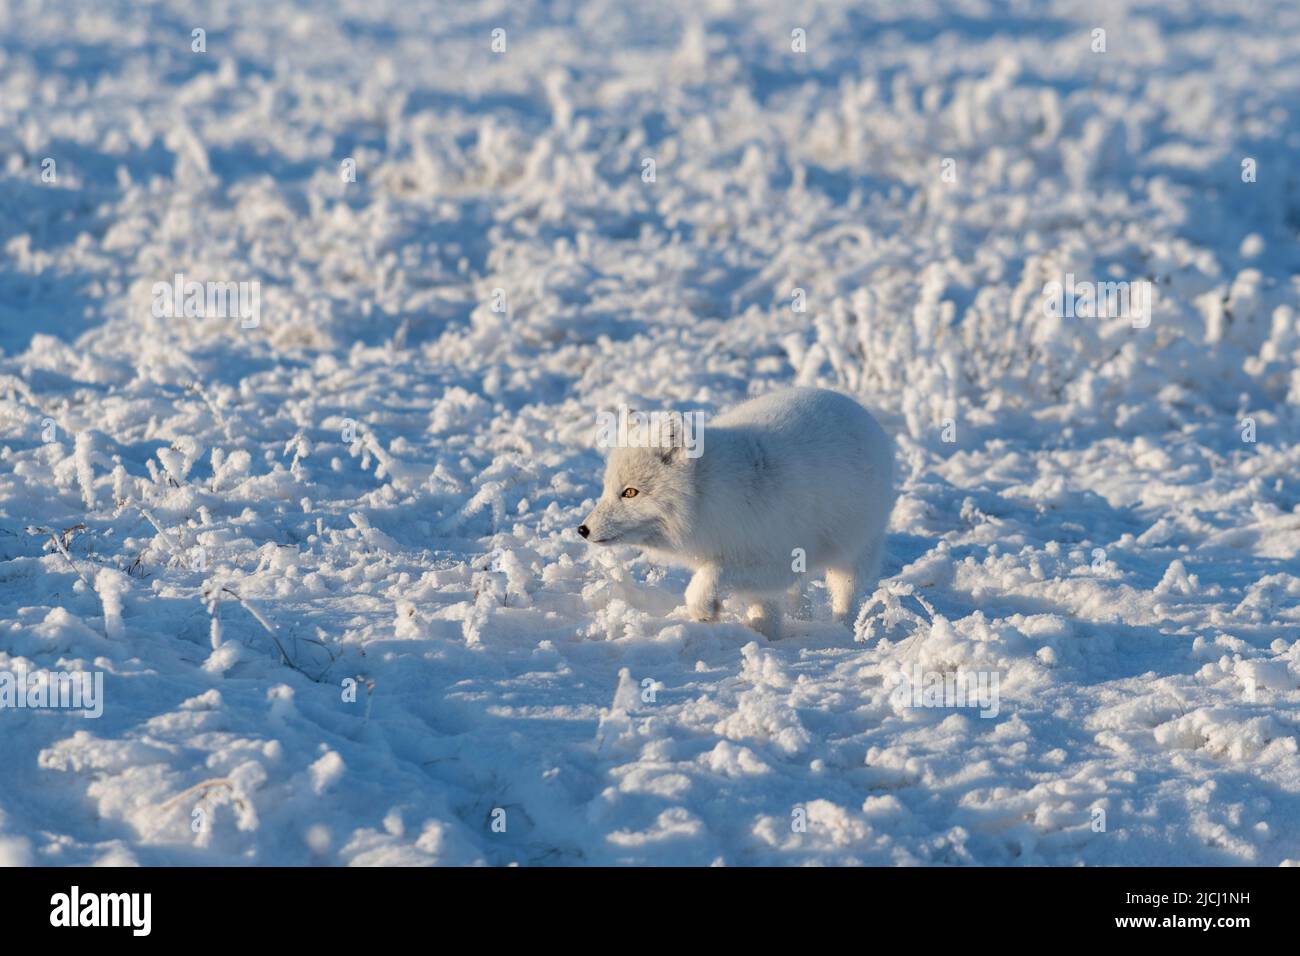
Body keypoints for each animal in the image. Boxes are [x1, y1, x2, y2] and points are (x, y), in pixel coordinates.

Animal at [579, 387, 895, 639]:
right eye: (606, 488)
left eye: (630, 492)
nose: (583, 530)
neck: (711, 493)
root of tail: (852, 405)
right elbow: (761, 605)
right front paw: (763, 634)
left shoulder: (776, 561)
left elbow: (710, 577)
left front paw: (705, 610)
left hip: (853, 556)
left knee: (845, 600)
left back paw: (843, 632)